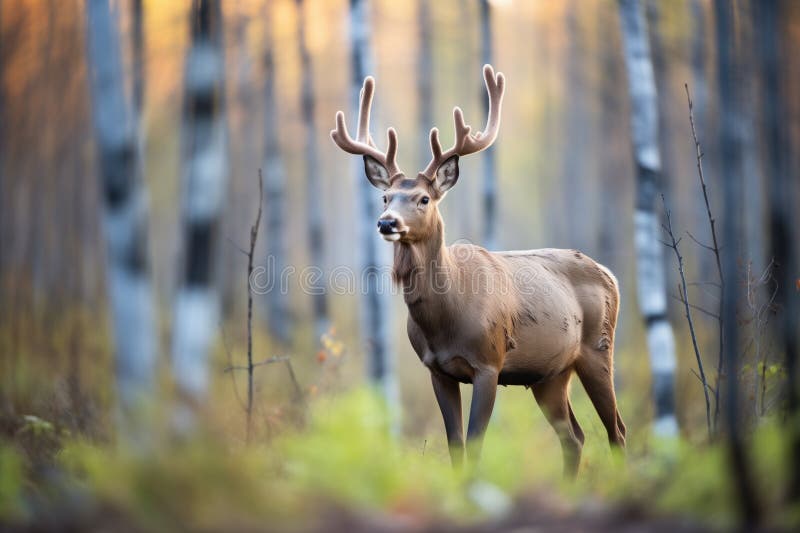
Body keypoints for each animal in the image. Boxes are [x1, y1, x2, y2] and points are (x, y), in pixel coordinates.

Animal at [331, 65, 626, 476]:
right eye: (386, 197)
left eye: (423, 198)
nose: (387, 222)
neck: (446, 318)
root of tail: (609, 273)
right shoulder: (437, 369)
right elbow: (455, 445)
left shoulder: (489, 363)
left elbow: (475, 443)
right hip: (550, 374)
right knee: (575, 437)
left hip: (599, 349)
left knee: (617, 431)